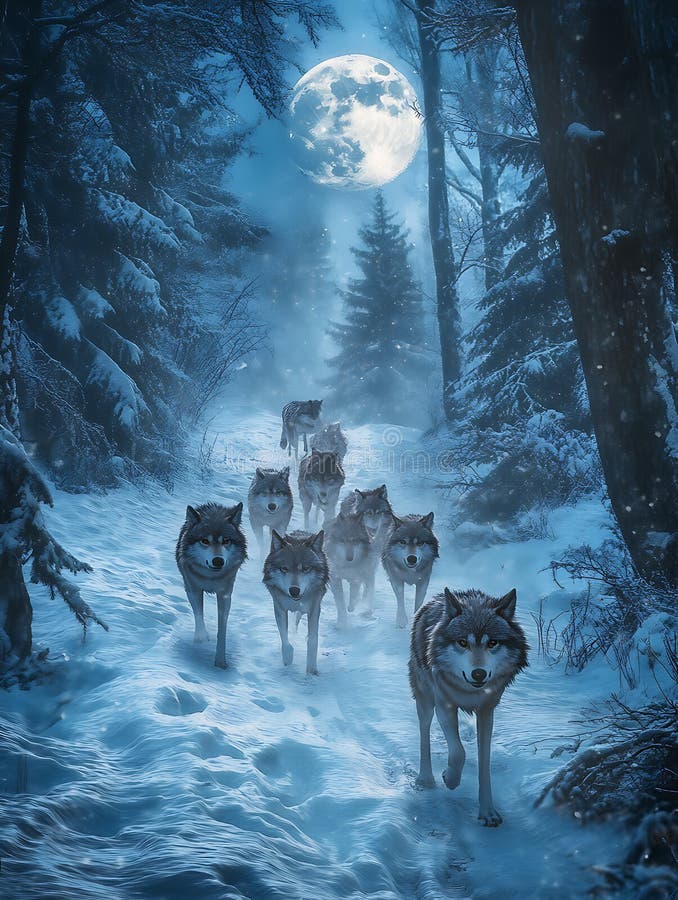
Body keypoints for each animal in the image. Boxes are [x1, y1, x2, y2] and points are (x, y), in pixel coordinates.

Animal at [175, 502, 247, 668]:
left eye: (226, 541)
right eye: (205, 541)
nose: (218, 561)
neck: (210, 577)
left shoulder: (225, 594)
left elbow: (222, 629)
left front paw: (220, 661)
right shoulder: (193, 588)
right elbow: (198, 613)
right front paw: (201, 637)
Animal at [262, 529, 329, 675]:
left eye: (306, 568)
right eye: (284, 569)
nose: (294, 591)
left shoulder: (314, 609)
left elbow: (313, 640)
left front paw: (311, 670)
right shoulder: (279, 607)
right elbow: (284, 637)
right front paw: (288, 659)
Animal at [409, 588, 528, 826]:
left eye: (492, 643)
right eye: (463, 642)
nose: (479, 674)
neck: (470, 692)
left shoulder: (487, 712)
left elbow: (484, 764)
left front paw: (488, 812)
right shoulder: (444, 706)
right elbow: (458, 753)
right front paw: (450, 779)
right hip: (424, 699)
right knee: (424, 732)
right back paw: (426, 778)